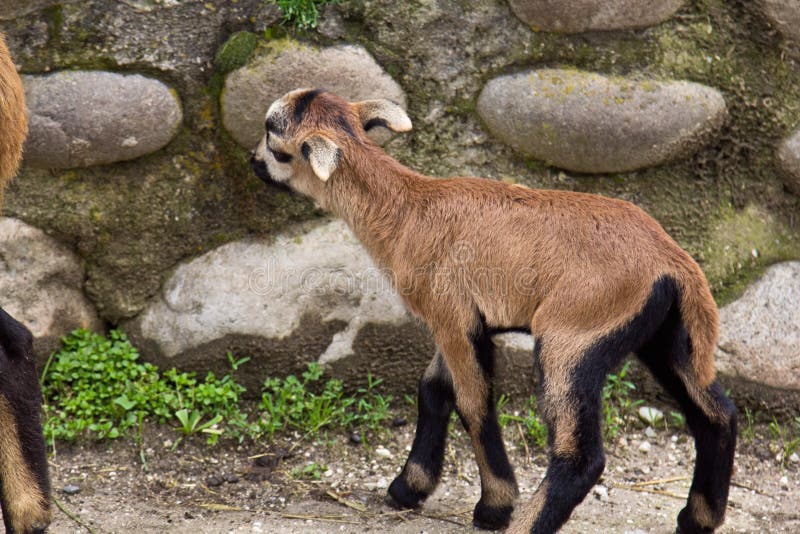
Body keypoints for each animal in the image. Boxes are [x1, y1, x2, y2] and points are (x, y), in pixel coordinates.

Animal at [249, 88, 737, 534]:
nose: (253, 162)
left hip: (573, 337)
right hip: (664, 336)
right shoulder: (459, 322)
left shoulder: (450, 315)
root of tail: (673, 260)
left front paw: (494, 507)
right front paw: (408, 488)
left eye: (275, 142)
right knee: (716, 415)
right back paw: (696, 521)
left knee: (580, 456)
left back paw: (527, 524)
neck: (407, 210)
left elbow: (473, 403)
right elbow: (433, 391)